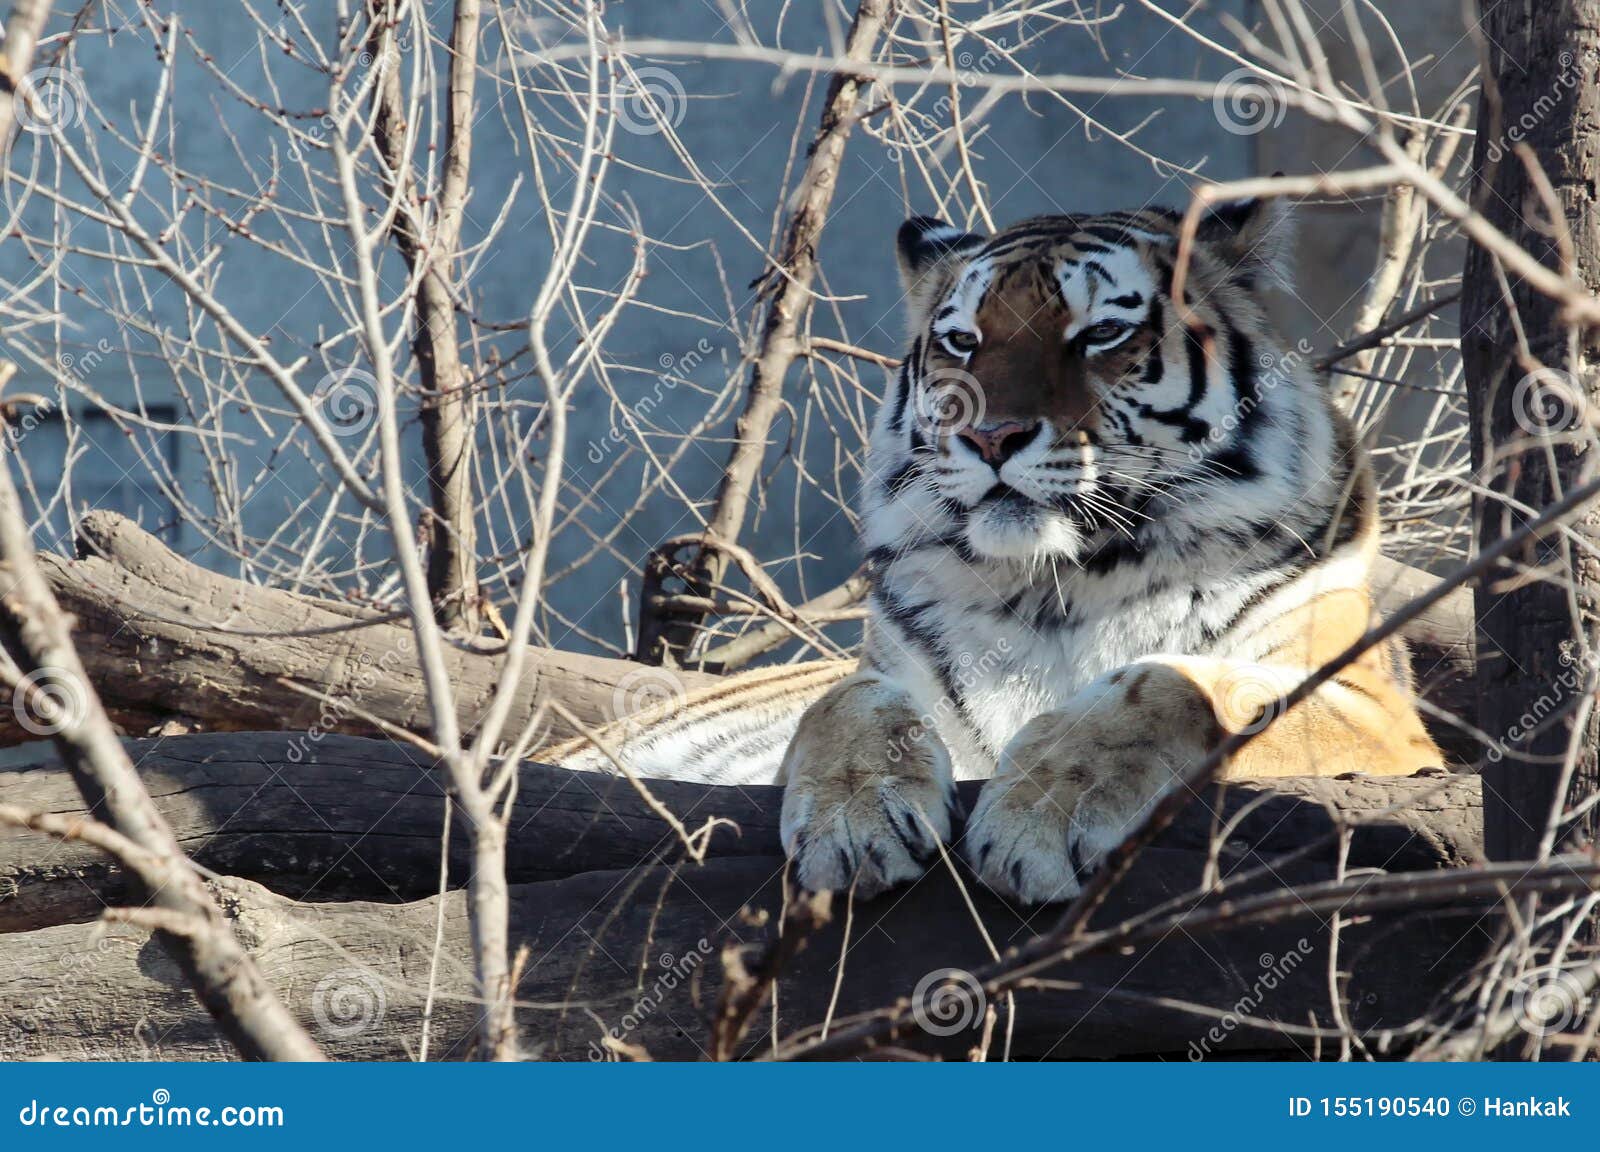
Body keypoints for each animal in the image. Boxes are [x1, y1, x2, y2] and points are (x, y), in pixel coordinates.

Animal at [553, 198, 1443, 905]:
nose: (988, 435)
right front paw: (853, 821)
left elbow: (1165, 683)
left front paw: (1038, 818)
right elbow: (845, 700)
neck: (1066, 579)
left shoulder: (1375, 712)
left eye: (1102, 333)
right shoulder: (886, 672)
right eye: (961, 340)